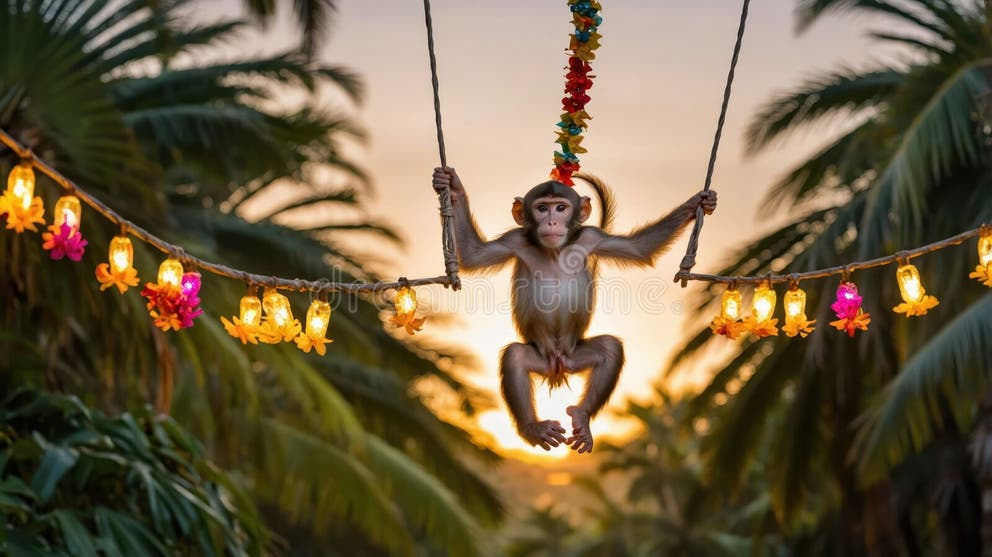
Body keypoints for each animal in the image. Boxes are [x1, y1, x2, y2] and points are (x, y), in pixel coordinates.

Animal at [432, 167, 717, 453]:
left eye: (561, 208)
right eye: (542, 208)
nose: (552, 222)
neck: (555, 249)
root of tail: (558, 365)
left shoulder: (592, 237)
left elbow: (639, 247)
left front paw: (698, 203)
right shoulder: (514, 241)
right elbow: (473, 253)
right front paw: (451, 186)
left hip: (575, 354)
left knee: (609, 348)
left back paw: (582, 416)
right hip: (541, 355)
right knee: (514, 356)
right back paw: (533, 428)